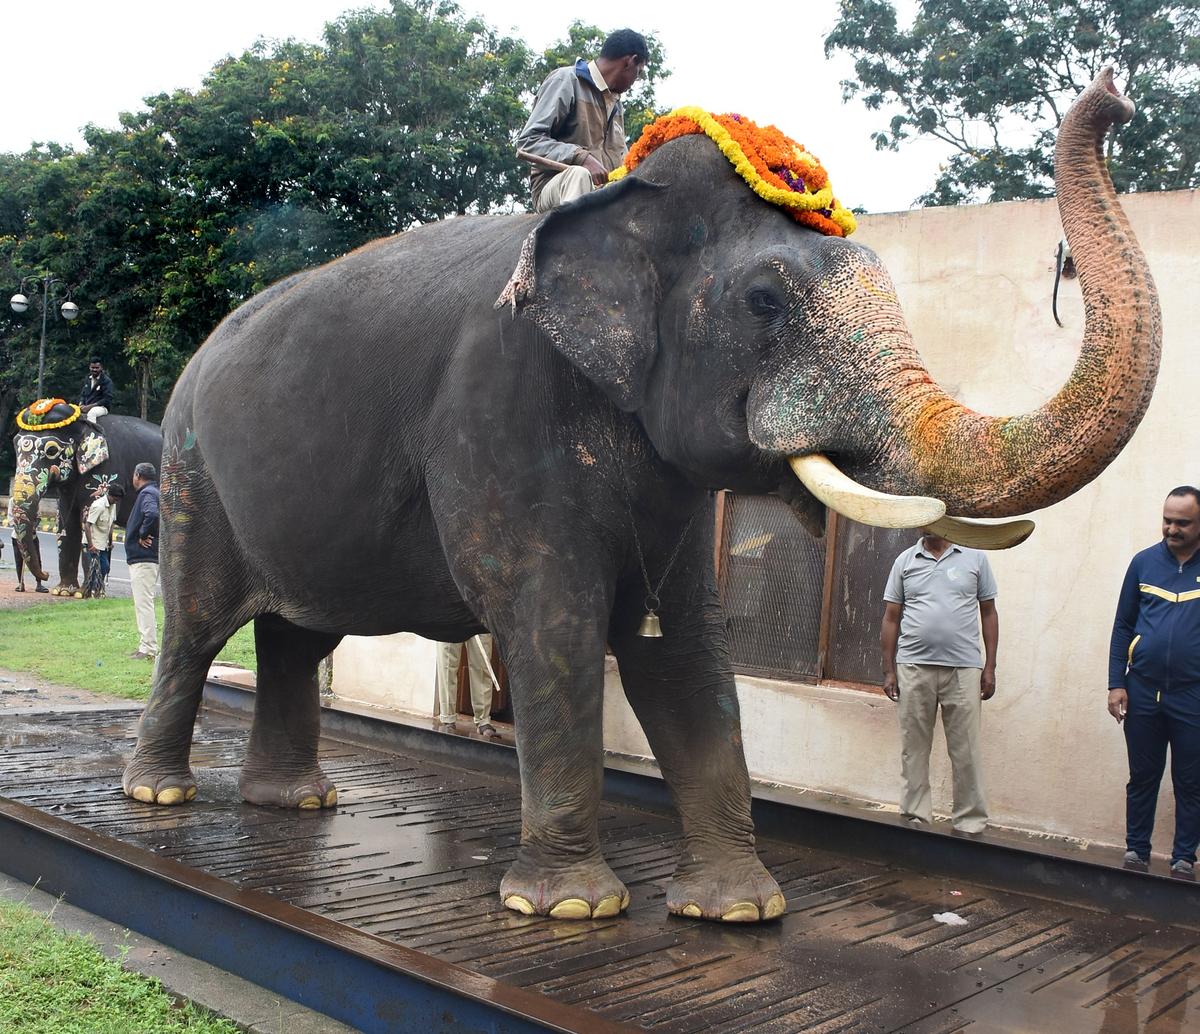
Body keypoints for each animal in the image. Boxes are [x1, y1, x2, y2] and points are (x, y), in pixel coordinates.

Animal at [10, 402, 163, 595]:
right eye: (15, 446)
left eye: (51, 450)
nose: (45, 574)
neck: (82, 424)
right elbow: (66, 524)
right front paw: (63, 591)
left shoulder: (107, 470)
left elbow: (88, 523)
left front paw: (84, 594)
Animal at [123, 70, 1158, 924]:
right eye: (764, 302)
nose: (1116, 97)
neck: (630, 206)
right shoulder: (499, 413)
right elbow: (554, 625)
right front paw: (571, 909)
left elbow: (688, 644)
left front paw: (739, 911)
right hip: (187, 472)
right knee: (198, 625)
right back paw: (160, 796)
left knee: (296, 638)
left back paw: (297, 802)